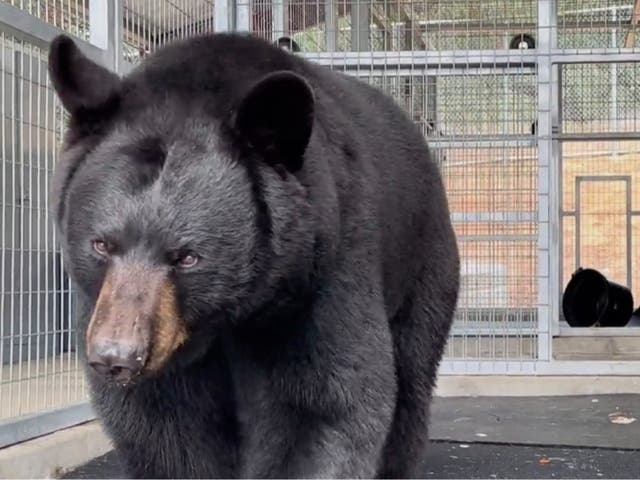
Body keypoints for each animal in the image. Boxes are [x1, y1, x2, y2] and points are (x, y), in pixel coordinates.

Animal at [47, 32, 460, 479]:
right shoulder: (112, 310)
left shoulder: (320, 272)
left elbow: (322, 401)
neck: (225, 318)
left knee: (412, 374)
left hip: (423, 260)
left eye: (187, 257)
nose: (116, 357)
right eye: (101, 244)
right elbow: (161, 423)